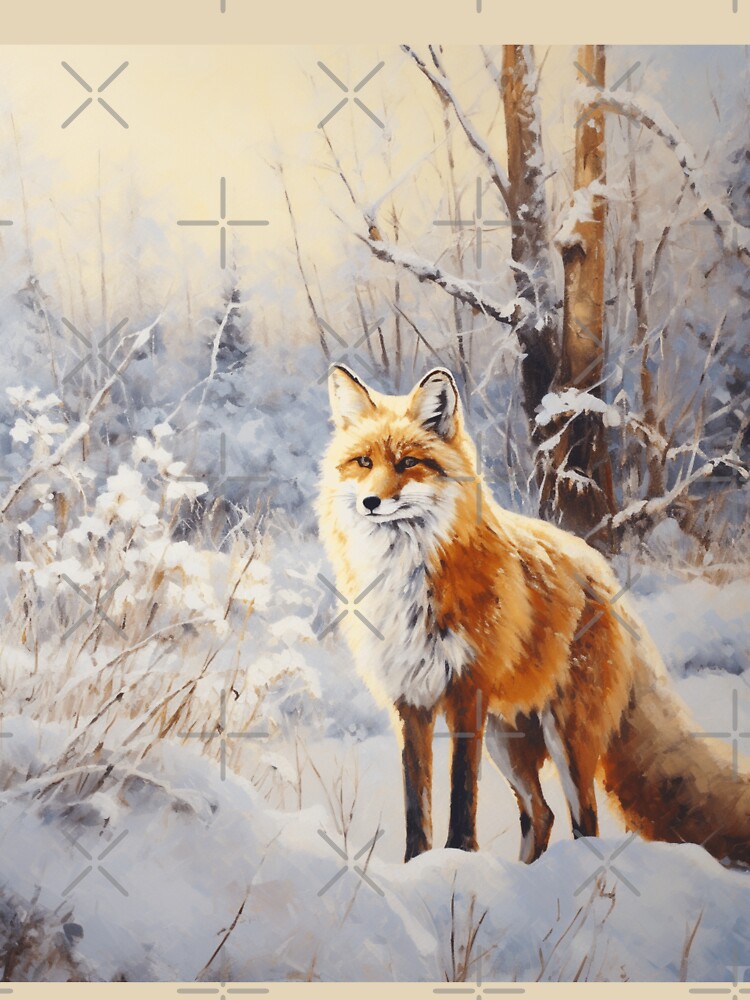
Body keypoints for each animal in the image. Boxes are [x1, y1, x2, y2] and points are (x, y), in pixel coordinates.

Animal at [317, 364, 750, 867]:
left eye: (408, 463)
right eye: (364, 462)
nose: (371, 502)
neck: (406, 576)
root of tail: (602, 573)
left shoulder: (467, 694)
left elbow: (462, 796)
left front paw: (458, 860)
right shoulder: (411, 701)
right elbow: (416, 803)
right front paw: (418, 867)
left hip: (565, 737)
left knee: (585, 822)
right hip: (509, 742)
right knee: (542, 815)